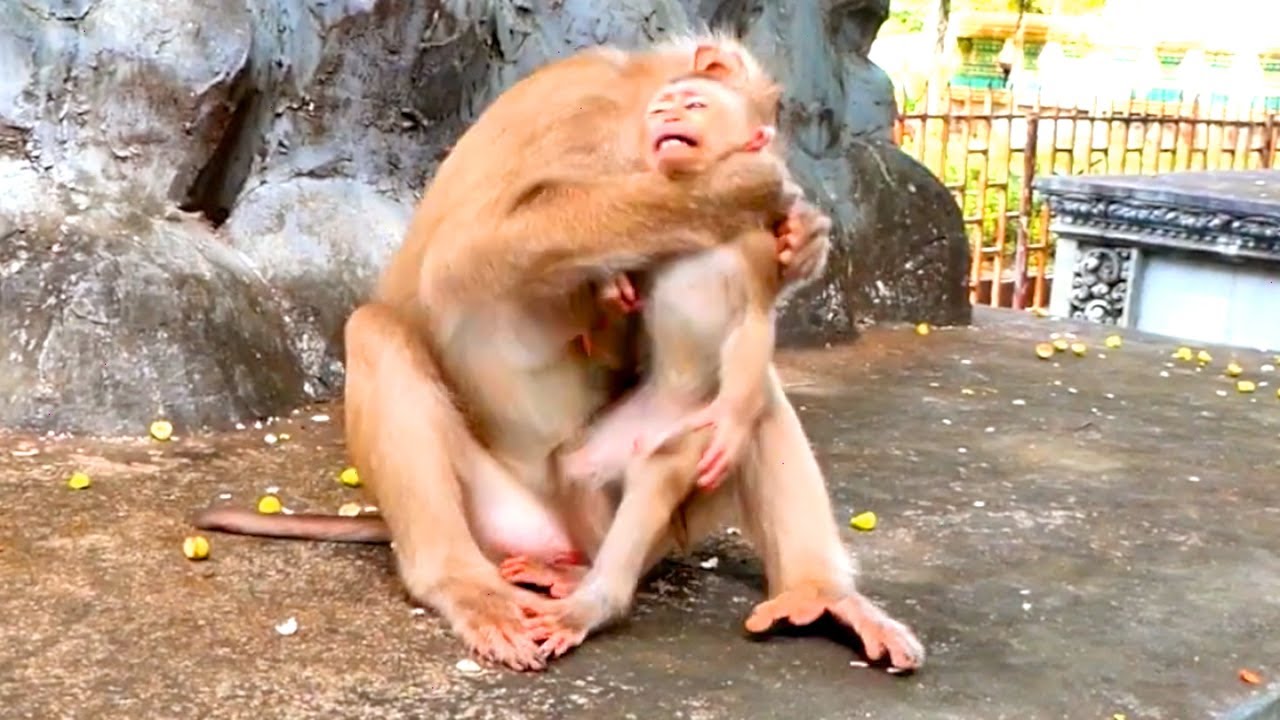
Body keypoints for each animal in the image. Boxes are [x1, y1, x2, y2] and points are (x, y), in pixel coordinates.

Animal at [192, 34, 925, 673]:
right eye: (680, 101)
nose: (670, 116)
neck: (630, 115)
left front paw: (799, 241)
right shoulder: (576, 105)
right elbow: (465, 254)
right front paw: (736, 192)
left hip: (670, 517)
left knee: (748, 403)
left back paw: (815, 594)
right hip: (492, 509)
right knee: (376, 329)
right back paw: (464, 584)